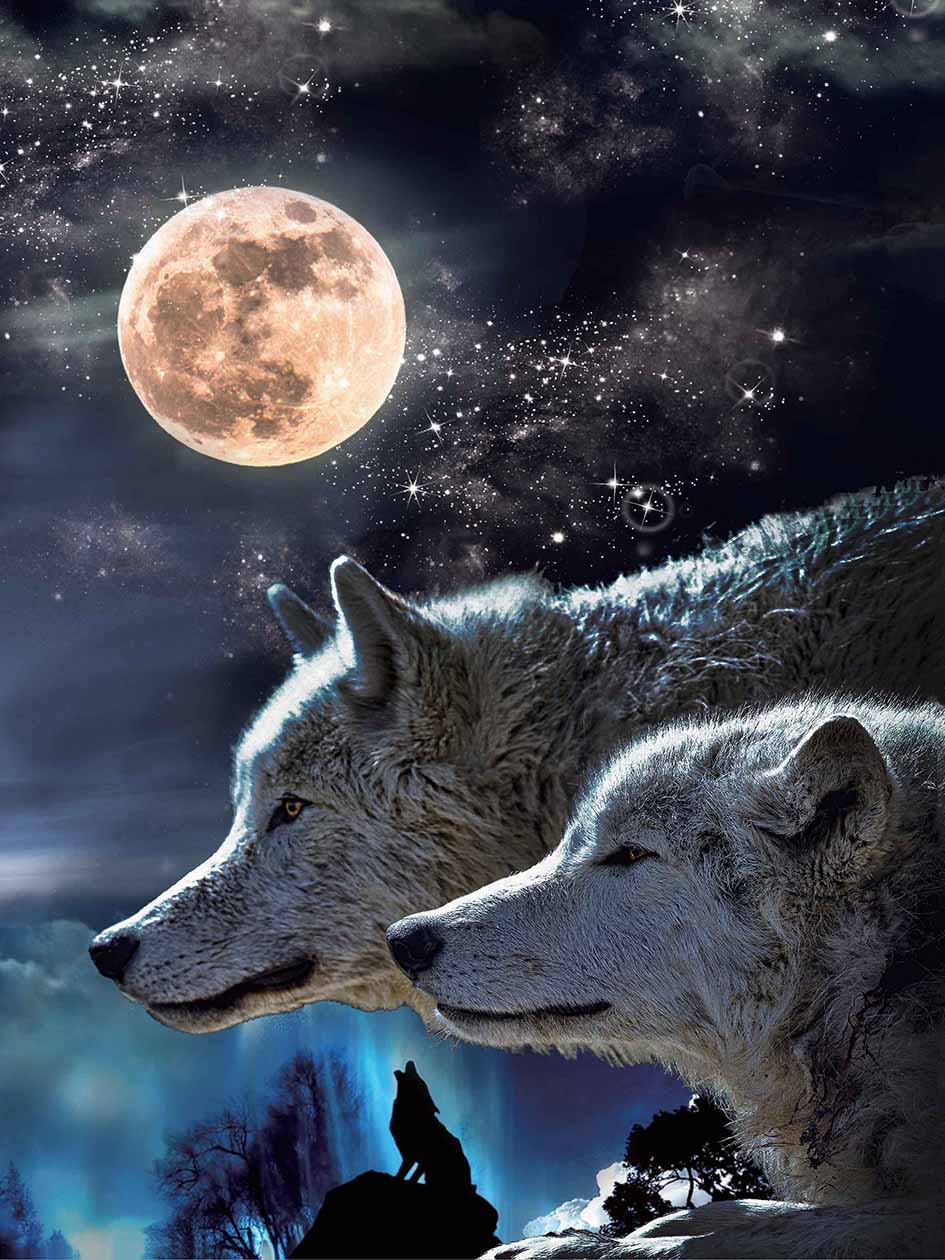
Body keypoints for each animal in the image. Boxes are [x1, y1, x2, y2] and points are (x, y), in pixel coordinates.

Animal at [390, 697, 945, 1258]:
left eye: (632, 853)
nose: (402, 939)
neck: (877, 980)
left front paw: (571, 1247)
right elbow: (746, 1211)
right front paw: (661, 1223)